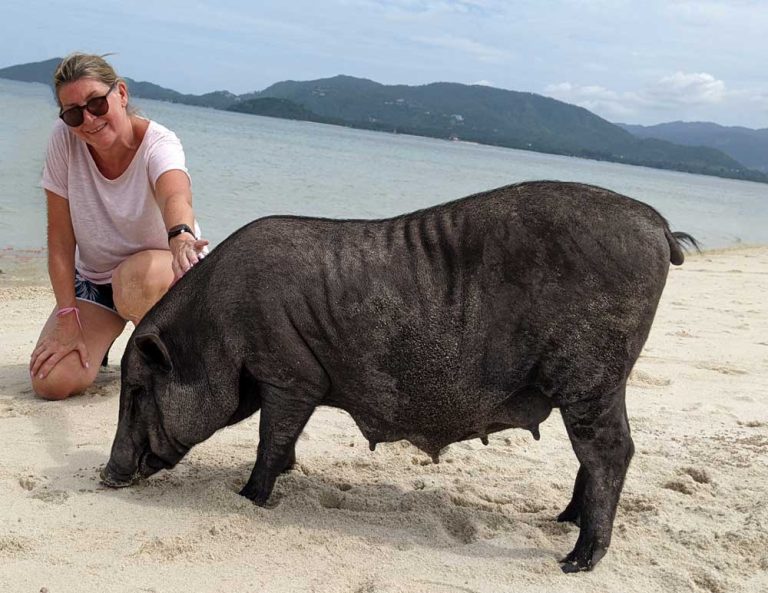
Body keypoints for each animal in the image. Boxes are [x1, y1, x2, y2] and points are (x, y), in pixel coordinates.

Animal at [101, 181, 697, 572]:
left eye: (137, 389)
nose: (106, 475)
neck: (217, 329)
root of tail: (659, 226)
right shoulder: (293, 383)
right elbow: (284, 438)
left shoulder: (290, 375)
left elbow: (272, 437)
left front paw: (247, 497)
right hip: (601, 383)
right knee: (593, 457)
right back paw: (562, 520)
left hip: (592, 376)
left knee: (611, 451)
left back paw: (574, 561)